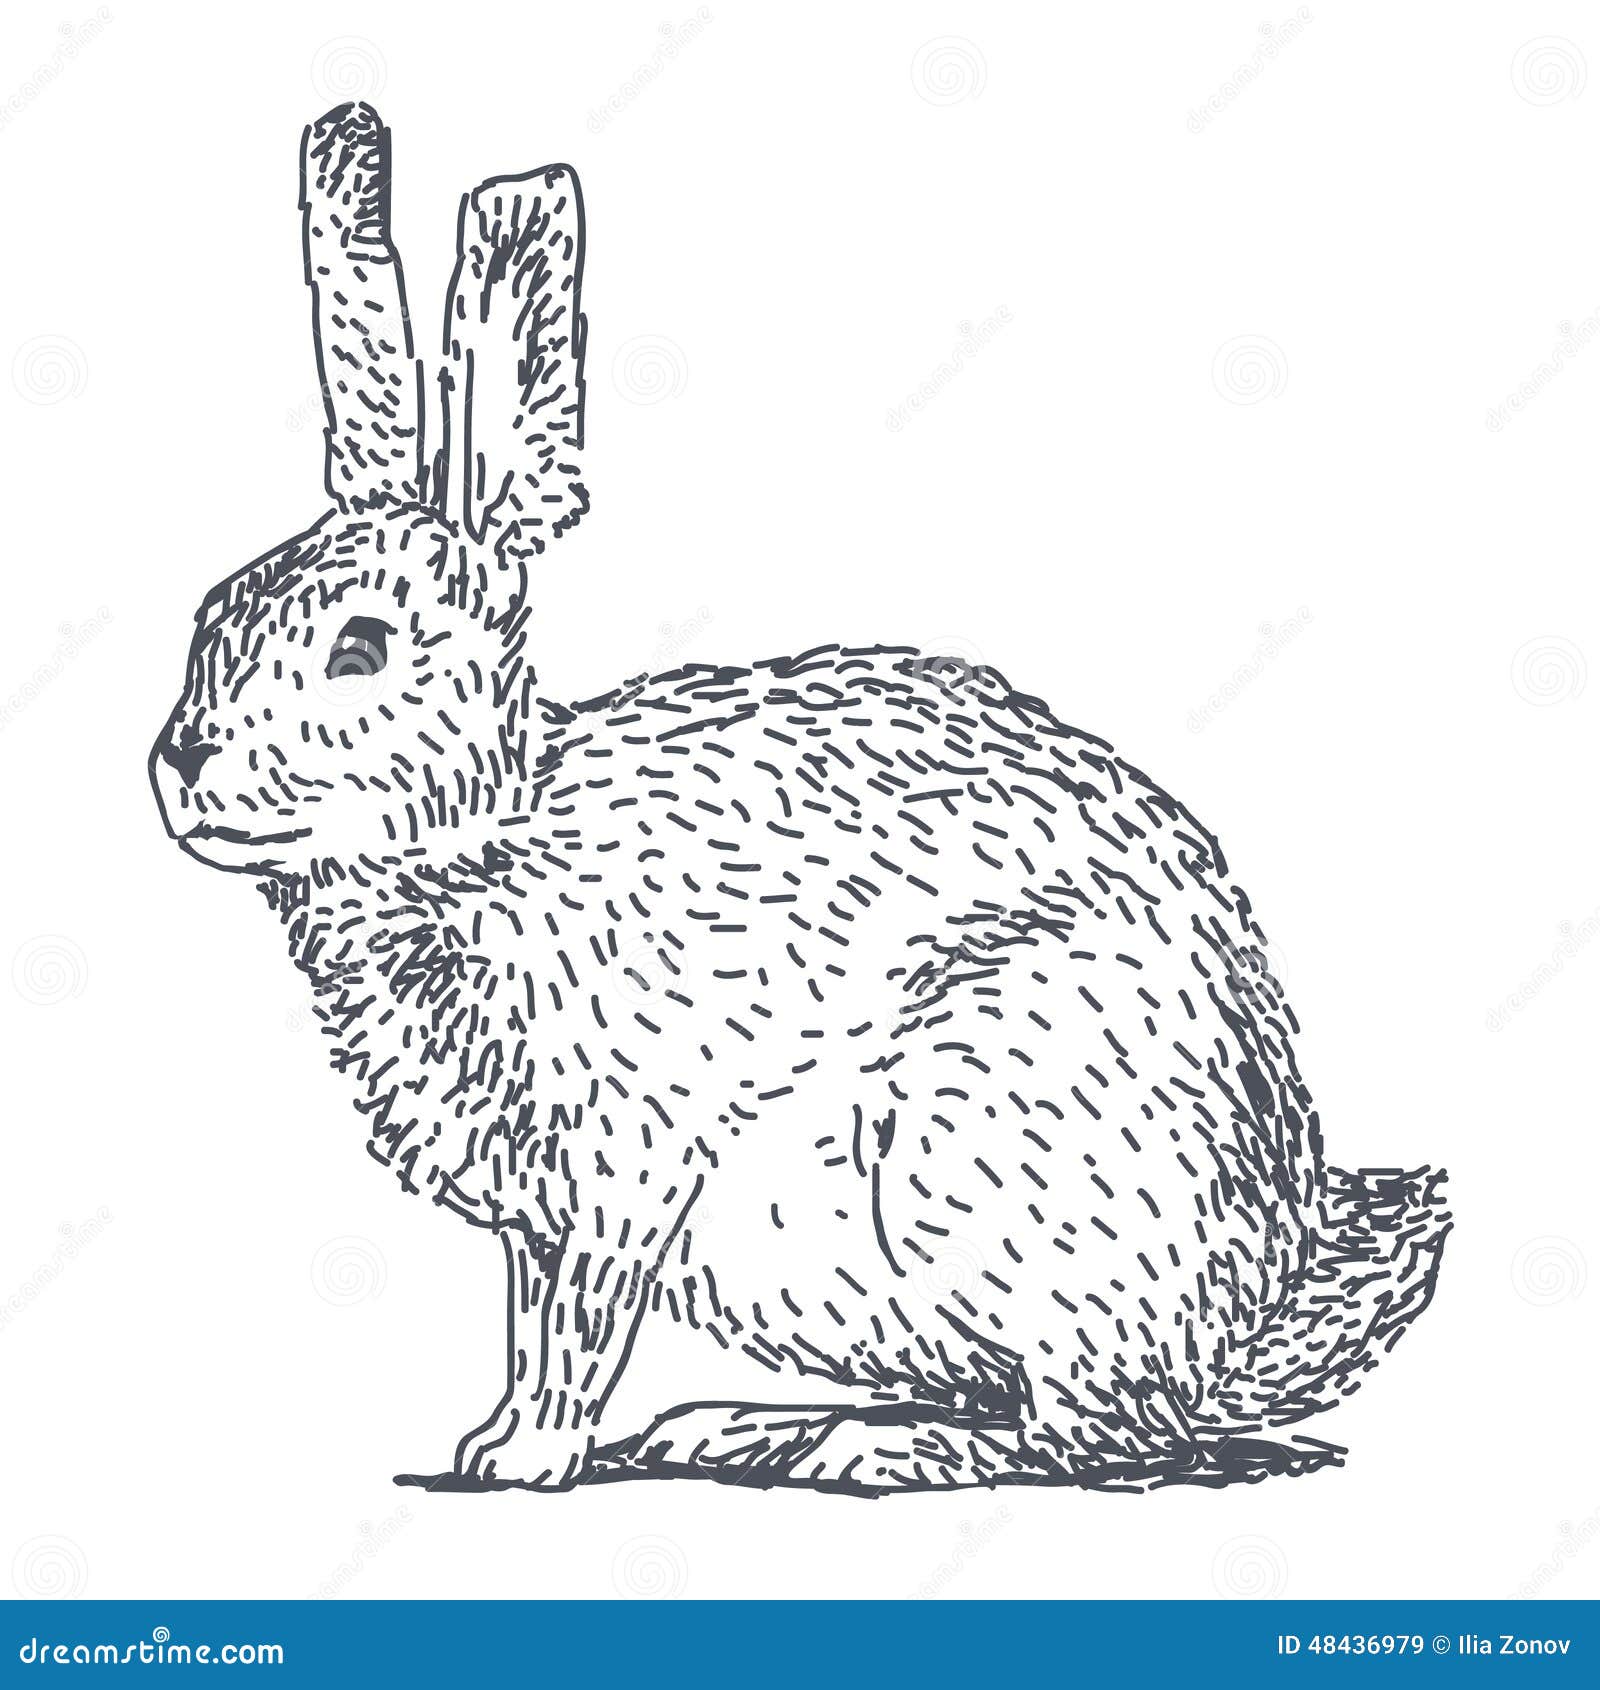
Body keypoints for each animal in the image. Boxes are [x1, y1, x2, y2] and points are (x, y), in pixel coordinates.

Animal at [150, 102, 1450, 1496]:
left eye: (361, 649)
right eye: (215, 611)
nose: (179, 767)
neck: (485, 841)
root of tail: (1244, 1301)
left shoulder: (626, 1166)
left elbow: (579, 1327)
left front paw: (526, 1456)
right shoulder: (536, 1216)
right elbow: (527, 1318)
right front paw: (498, 1434)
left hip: (971, 1153)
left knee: (1083, 1429)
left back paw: (867, 1447)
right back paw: (745, 1424)